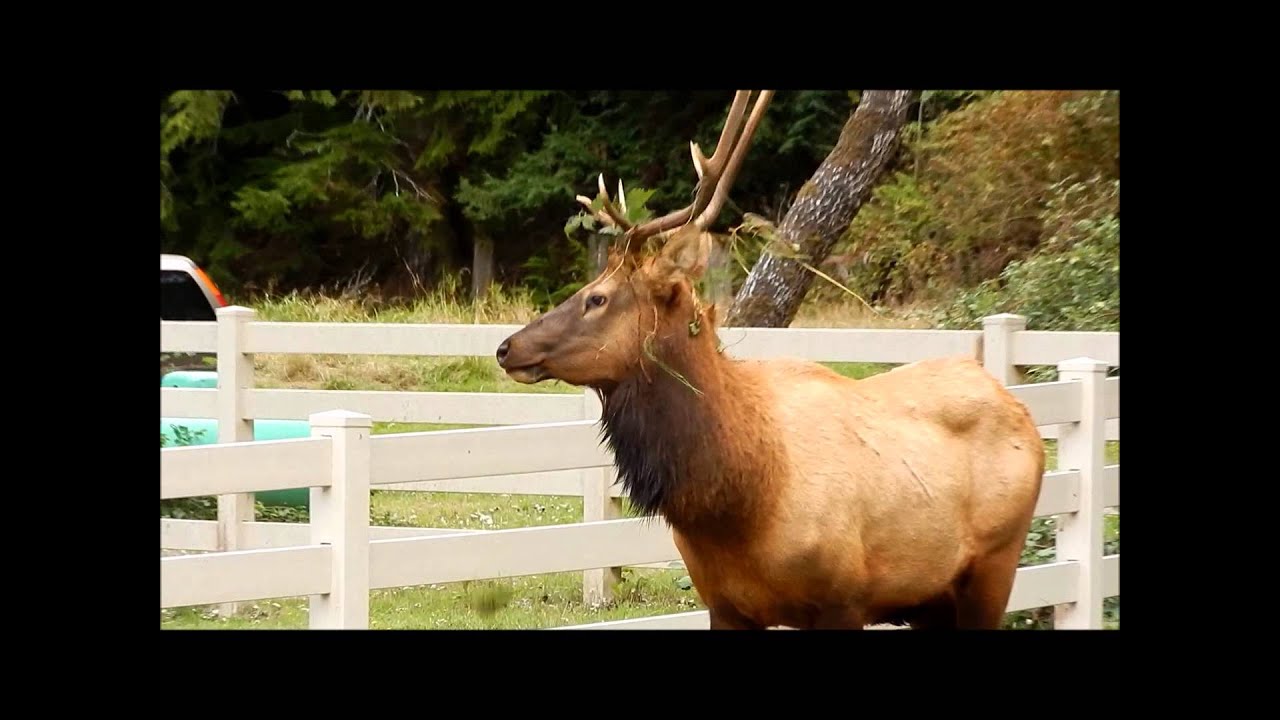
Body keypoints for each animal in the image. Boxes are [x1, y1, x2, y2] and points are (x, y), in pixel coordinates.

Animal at [495, 91, 1045, 629]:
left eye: (598, 298)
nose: (506, 347)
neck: (740, 504)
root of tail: (1022, 412)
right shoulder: (723, 603)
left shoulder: (844, 598)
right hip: (929, 600)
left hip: (994, 566)